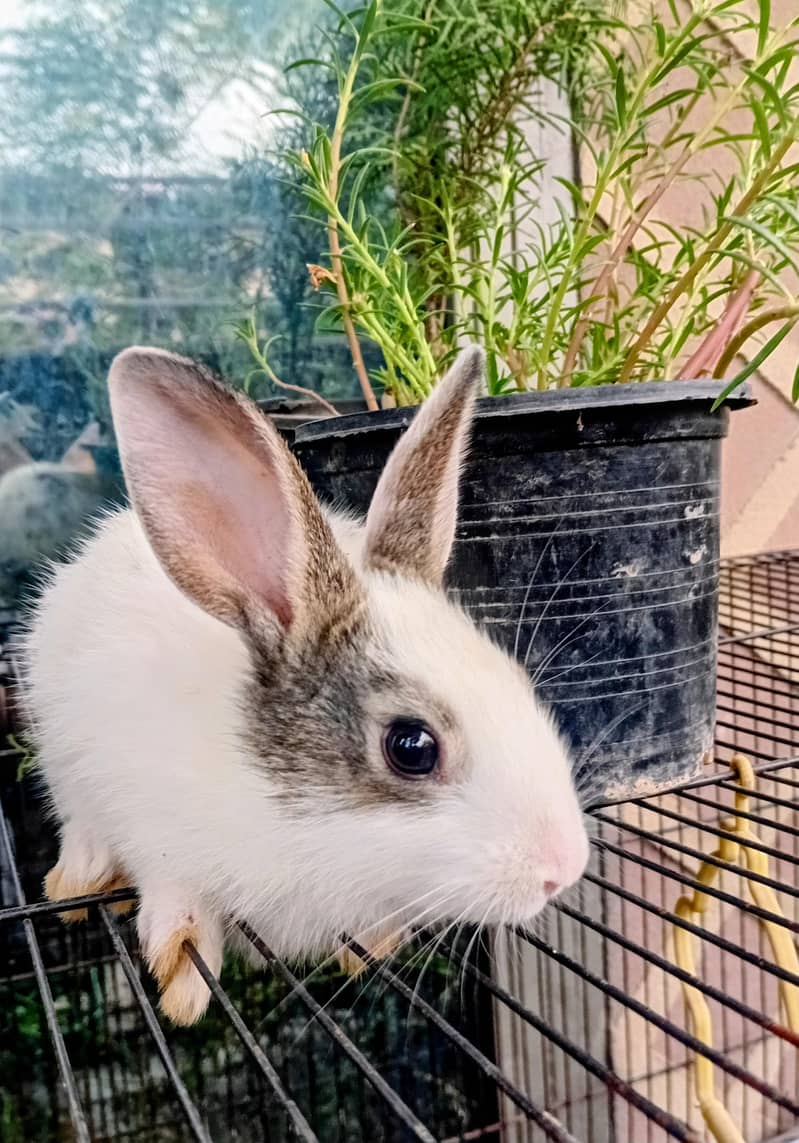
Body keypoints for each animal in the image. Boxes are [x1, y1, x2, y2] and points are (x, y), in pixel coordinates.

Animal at [20, 344, 590, 1025]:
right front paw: (183, 972)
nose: (564, 867)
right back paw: (78, 877)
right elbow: (178, 899)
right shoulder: (155, 832)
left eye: (517, 682)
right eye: (411, 747)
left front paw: (373, 944)